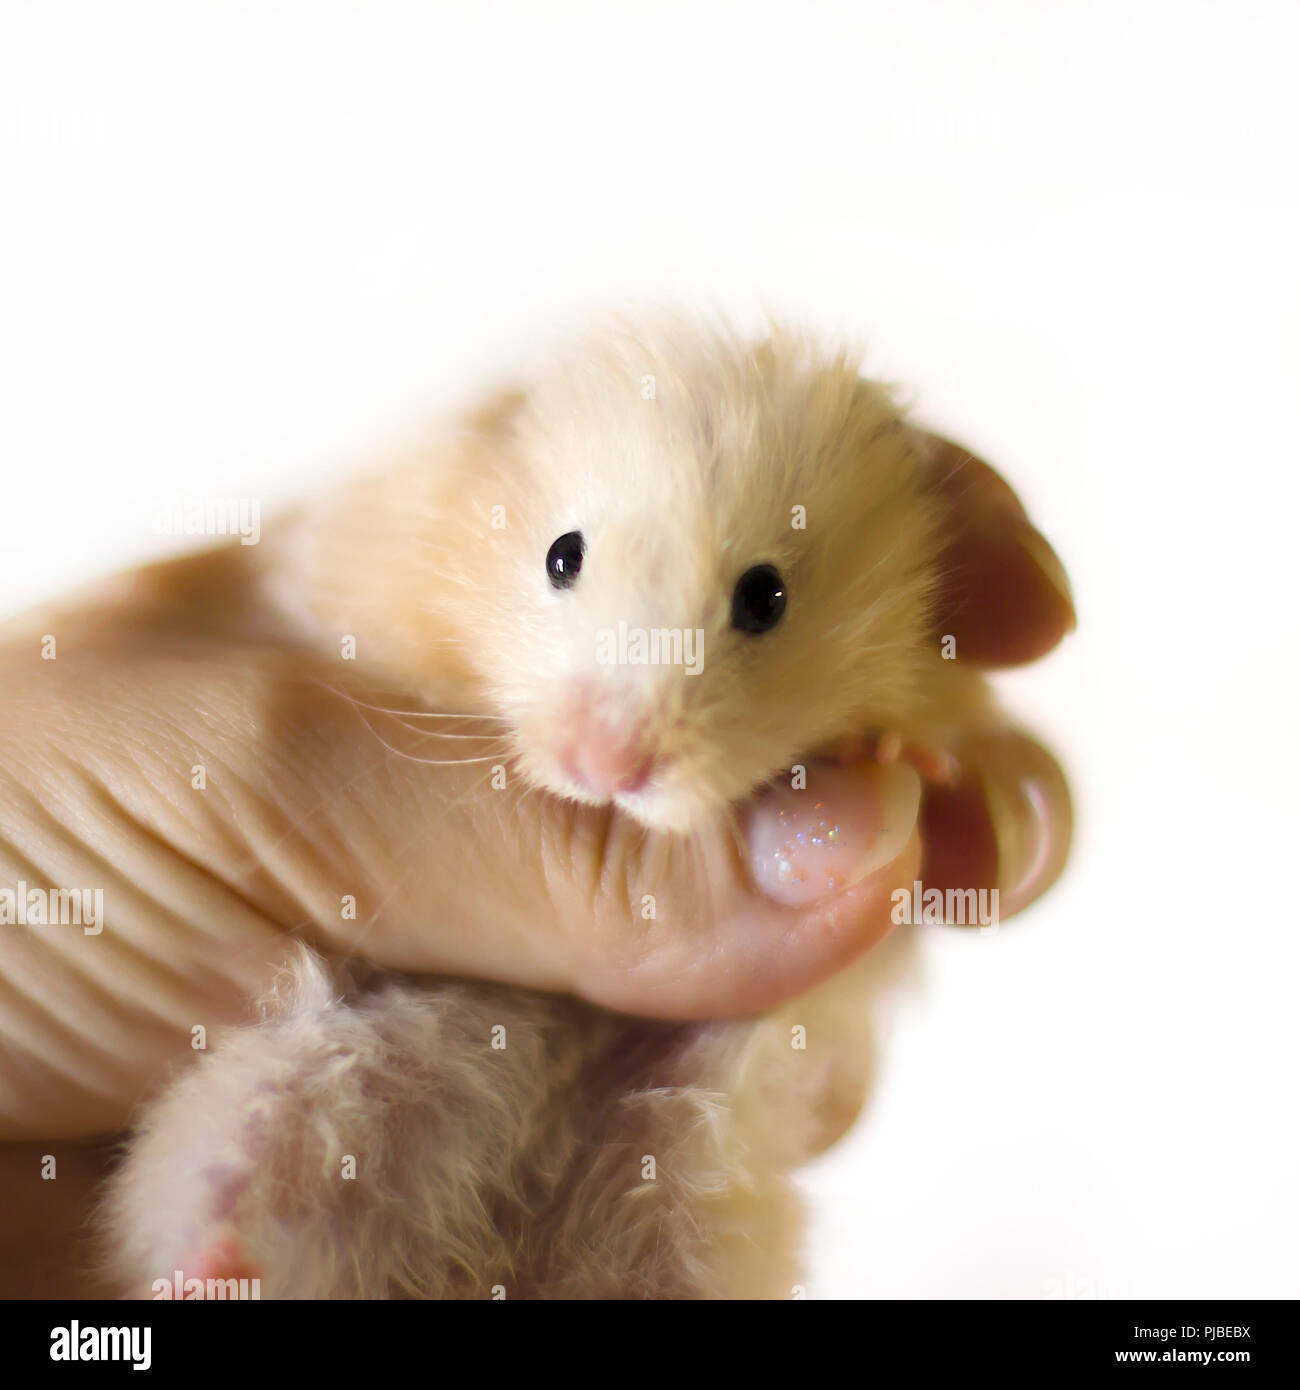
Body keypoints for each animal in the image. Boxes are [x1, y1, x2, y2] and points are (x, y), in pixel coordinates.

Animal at [101, 314, 998, 1298]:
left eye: (767, 596)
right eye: (561, 554)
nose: (602, 763)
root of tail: (484, 1244)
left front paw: (894, 756)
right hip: (285, 1086)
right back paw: (214, 1269)